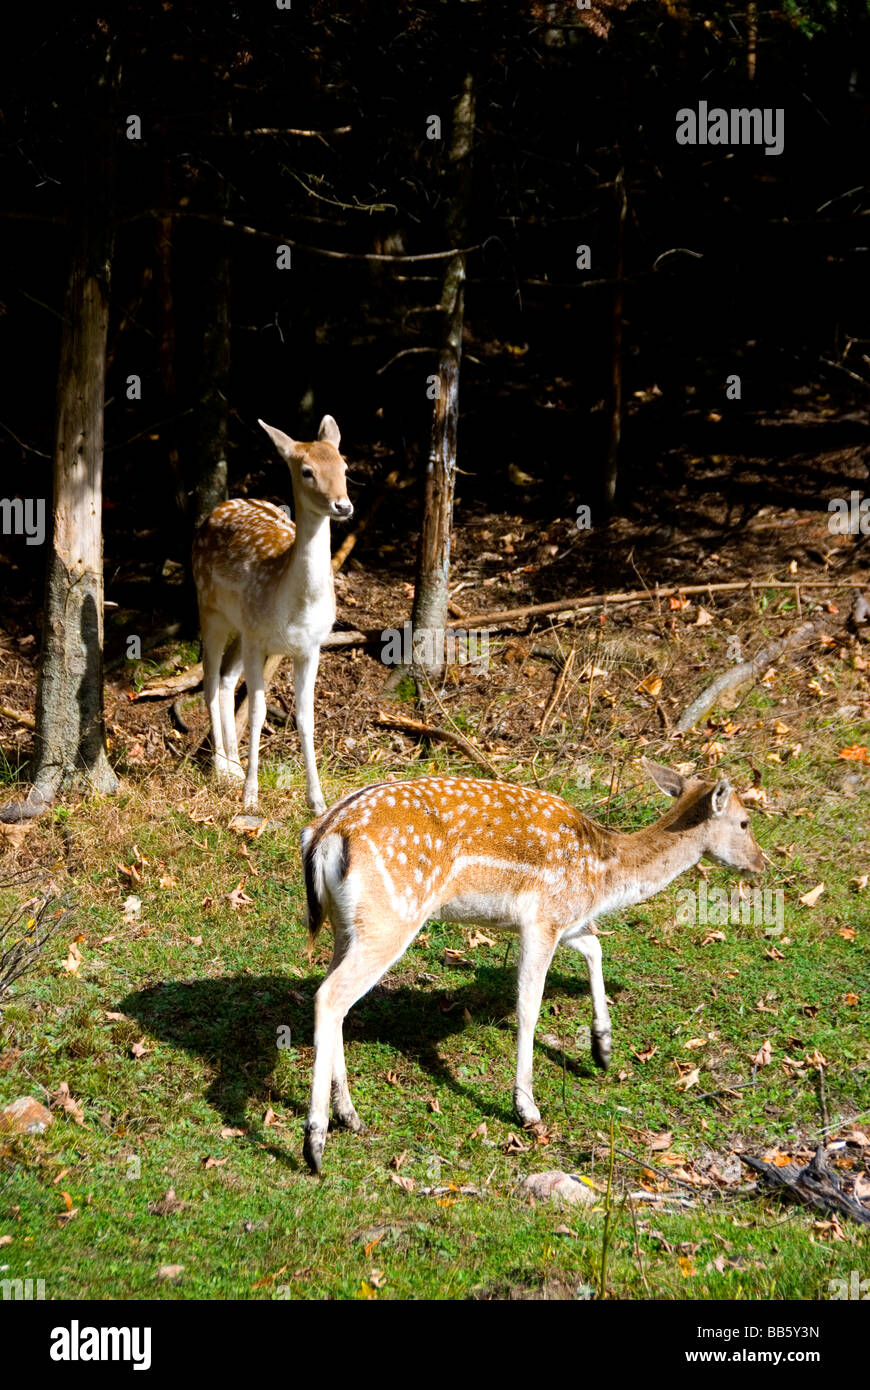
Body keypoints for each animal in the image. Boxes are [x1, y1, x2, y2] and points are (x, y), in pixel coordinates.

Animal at [192, 416, 352, 818]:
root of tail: (221, 505)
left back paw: (232, 765)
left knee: (225, 679)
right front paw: (250, 796)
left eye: (344, 466)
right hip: (211, 608)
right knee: (209, 679)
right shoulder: (258, 640)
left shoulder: (310, 647)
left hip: (240, 627)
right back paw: (221, 768)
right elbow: (258, 713)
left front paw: (317, 801)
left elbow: (306, 717)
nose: (343, 506)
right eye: (308, 471)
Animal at [298, 758, 764, 1173]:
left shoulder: (566, 920)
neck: (603, 876)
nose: (762, 863)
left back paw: (349, 1116)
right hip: (392, 915)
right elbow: (528, 1007)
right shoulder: (543, 918)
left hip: (346, 924)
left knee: (333, 994)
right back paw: (315, 1143)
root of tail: (324, 833)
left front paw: (602, 1049)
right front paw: (526, 1107)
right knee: (331, 995)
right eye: (744, 821)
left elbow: (594, 947)